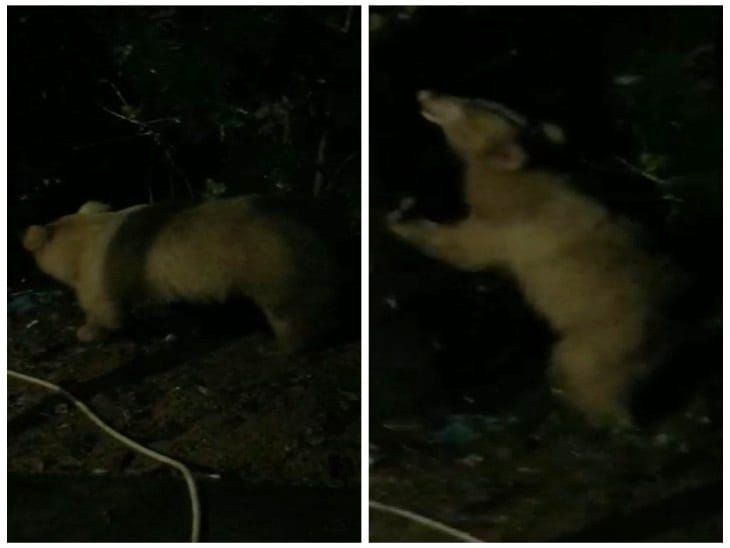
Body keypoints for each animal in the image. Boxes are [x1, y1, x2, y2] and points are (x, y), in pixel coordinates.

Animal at [22, 196, 338, 351]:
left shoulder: (99, 267)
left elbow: (104, 307)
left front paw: (88, 330)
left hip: (266, 259)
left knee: (290, 308)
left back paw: (291, 343)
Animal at [388, 90, 671, 426]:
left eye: (472, 106)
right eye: (480, 99)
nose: (426, 94)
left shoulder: (508, 229)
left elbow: (463, 249)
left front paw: (401, 221)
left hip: (602, 338)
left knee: (586, 374)